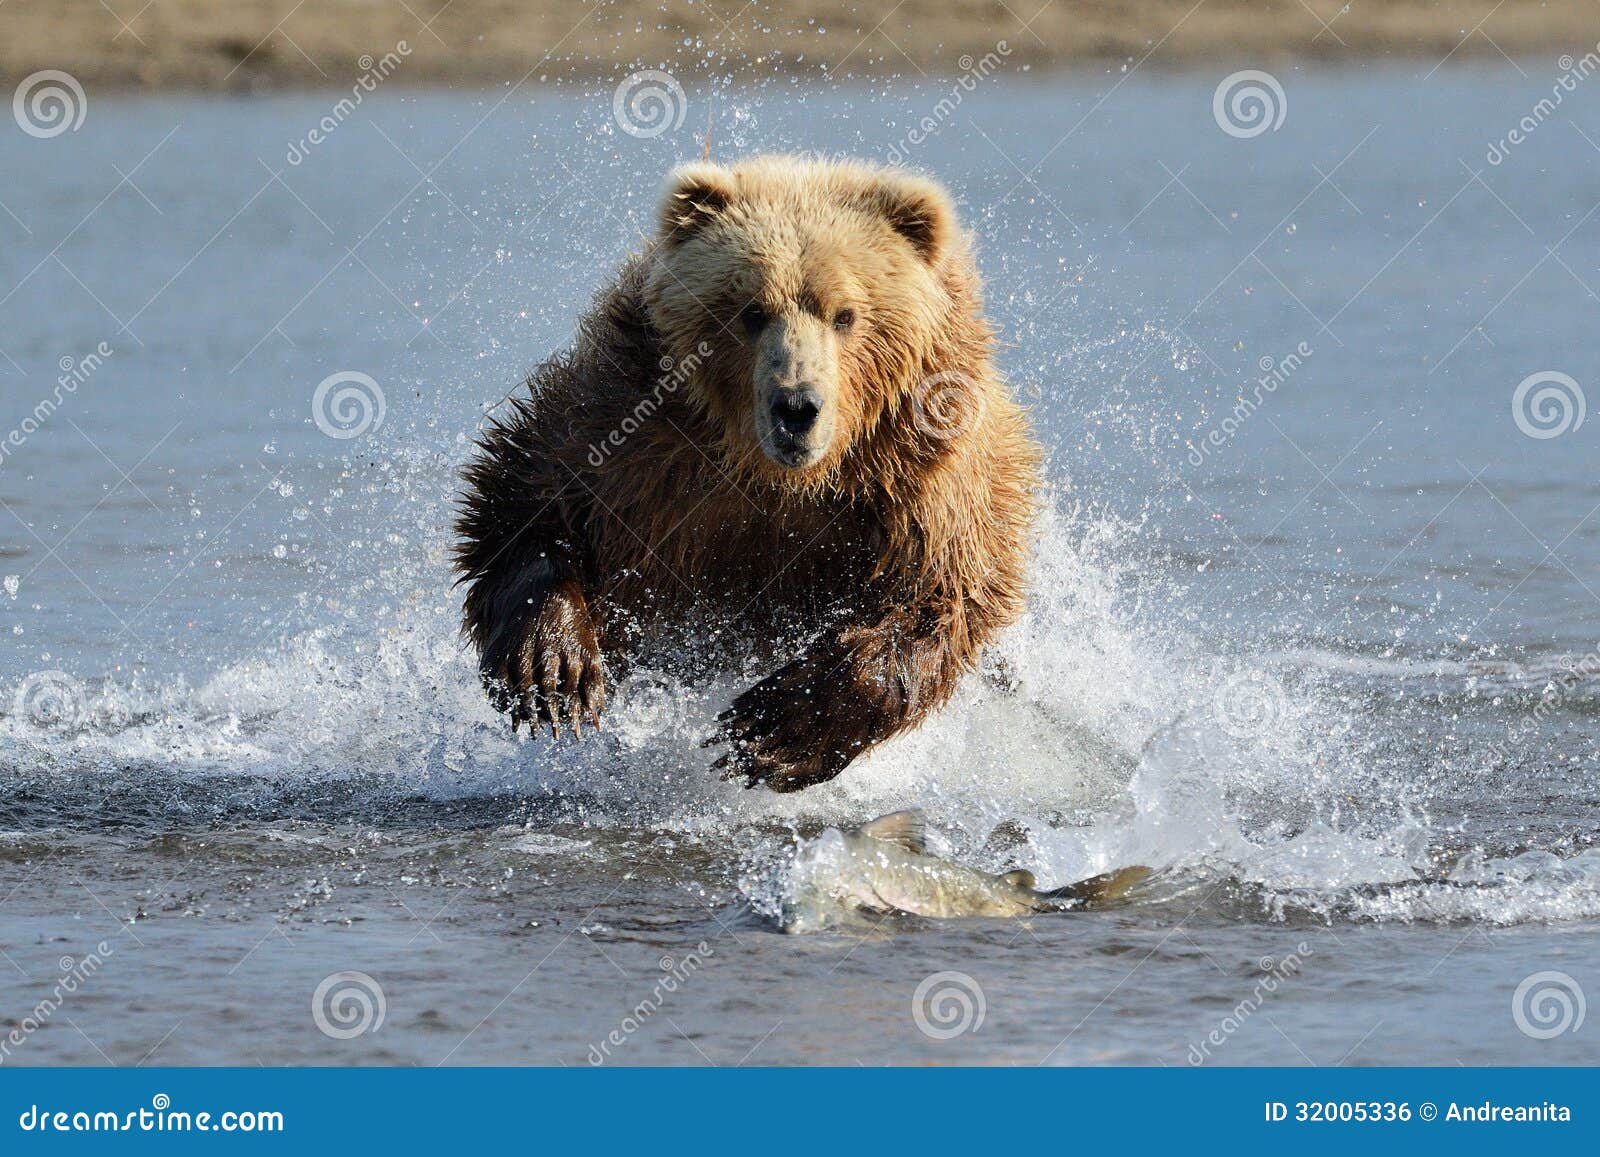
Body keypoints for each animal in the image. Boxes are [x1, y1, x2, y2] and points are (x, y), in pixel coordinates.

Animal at [454, 154, 1040, 792]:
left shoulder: (920, 473)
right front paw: (554, 669)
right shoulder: (636, 430)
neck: (777, 475)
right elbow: (529, 495)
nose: (797, 407)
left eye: (846, 314)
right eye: (751, 311)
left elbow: (938, 595)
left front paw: (770, 730)